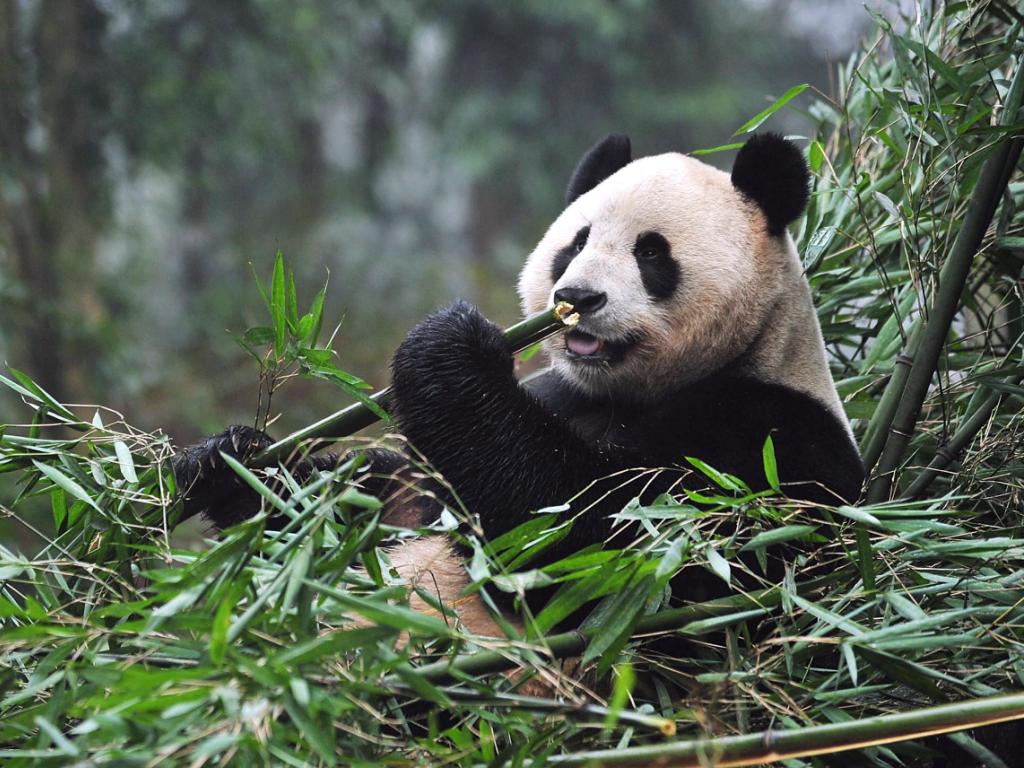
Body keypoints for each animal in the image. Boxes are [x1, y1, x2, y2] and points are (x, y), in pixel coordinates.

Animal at [174, 132, 865, 639]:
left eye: (650, 253)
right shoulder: (558, 393)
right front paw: (227, 464)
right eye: (576, 242)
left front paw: (449, 349)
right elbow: (378, 501)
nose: (576, 298)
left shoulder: (769, 442)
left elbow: (611, 549)